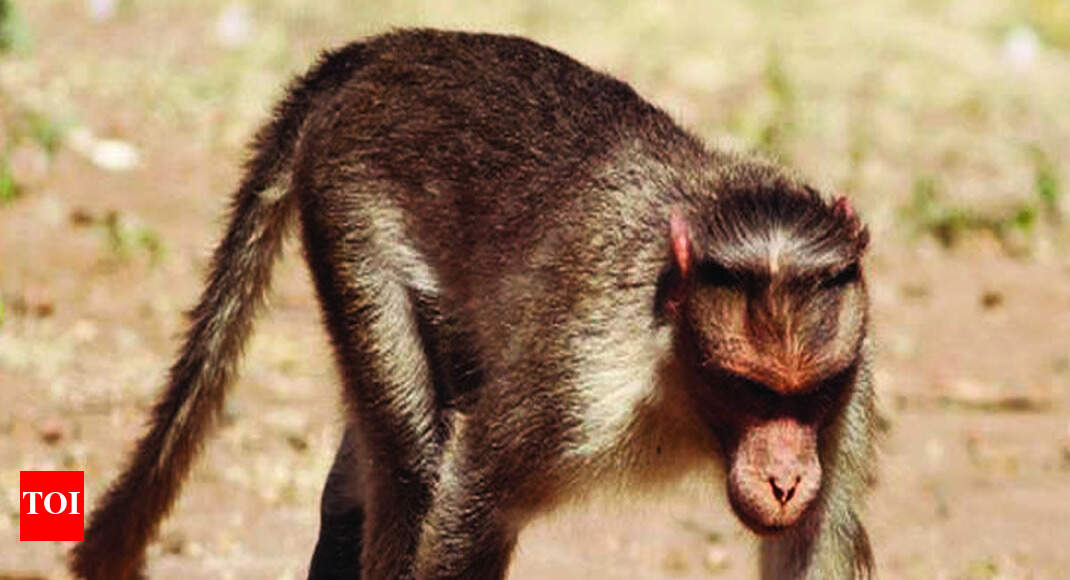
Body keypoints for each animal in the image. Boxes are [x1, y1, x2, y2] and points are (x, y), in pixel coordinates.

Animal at [70, 29, 876, 580]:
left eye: (808, 395)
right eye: (749, 389)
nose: (784, 478)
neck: (675, 364)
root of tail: (383, 52)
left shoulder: (849, 385)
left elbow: (814, 545)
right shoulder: (577, 384)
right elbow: (474, 503)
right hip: (351, 213)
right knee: (409, 465)